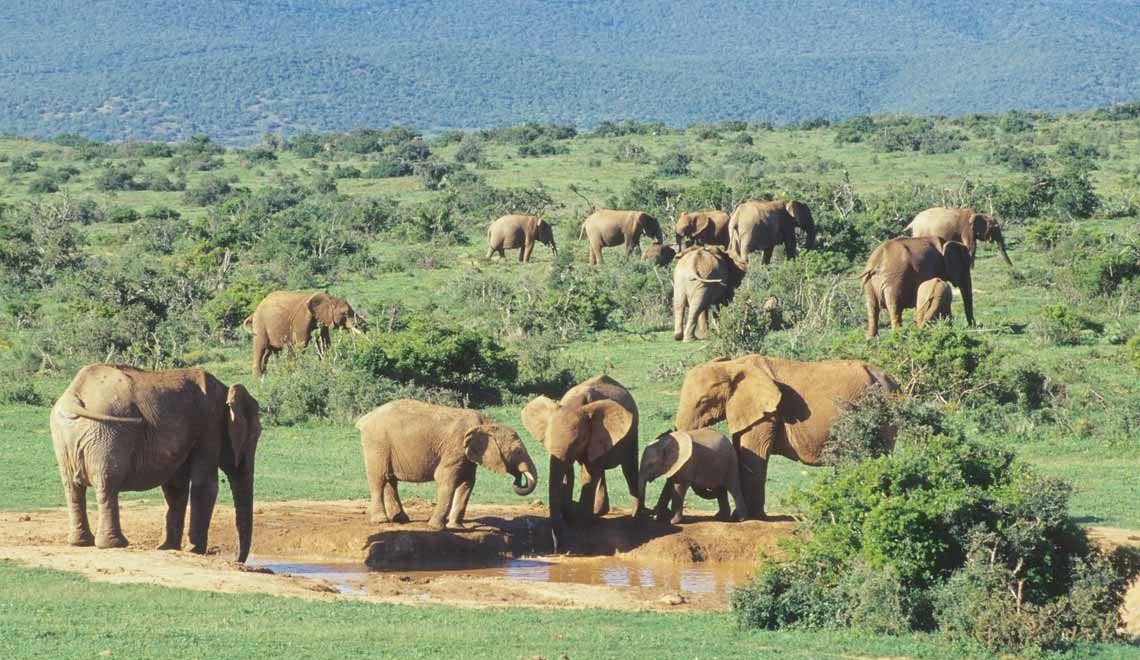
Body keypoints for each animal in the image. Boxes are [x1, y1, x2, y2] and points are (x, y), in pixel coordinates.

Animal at [49, 364, 261, 562]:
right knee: (107, 483)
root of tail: (74, 396)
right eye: (253, 437)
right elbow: (205, 486)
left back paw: (81, 542)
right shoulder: (209, 426)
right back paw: (115, 544)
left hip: (66, 435)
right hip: (107, 433)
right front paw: (194, 551)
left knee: (72, 487)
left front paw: (167, 548)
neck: (225, 391)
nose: (236, 559)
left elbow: (175, 487)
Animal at [356, 400, 538, 530]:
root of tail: (365, 419)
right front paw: (436, 527)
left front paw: (457, 527)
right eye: (517, 451)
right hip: (377, 442)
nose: (517, 480)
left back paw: (400, 519)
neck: (487, 423)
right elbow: (446, 479)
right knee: (379, 478)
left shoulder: (467, 455)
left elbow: (467, 484)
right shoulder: (456, 447)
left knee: (390, 478)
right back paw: (381, 521)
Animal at [521, 375, 641, 552]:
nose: (558, 549)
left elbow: (588, 473)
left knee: (628, 468)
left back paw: (634, 517)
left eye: (579, 441)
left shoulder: (598, 436)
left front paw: (583, 522)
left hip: (633, 433)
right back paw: (599, 511)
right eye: (546, 442)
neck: (575, 404)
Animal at [675, 355, 898, 518]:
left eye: (703, 401)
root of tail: (889, 378)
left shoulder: (768, 412)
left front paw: (750, 517)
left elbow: (753, 455)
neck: (733, 365)